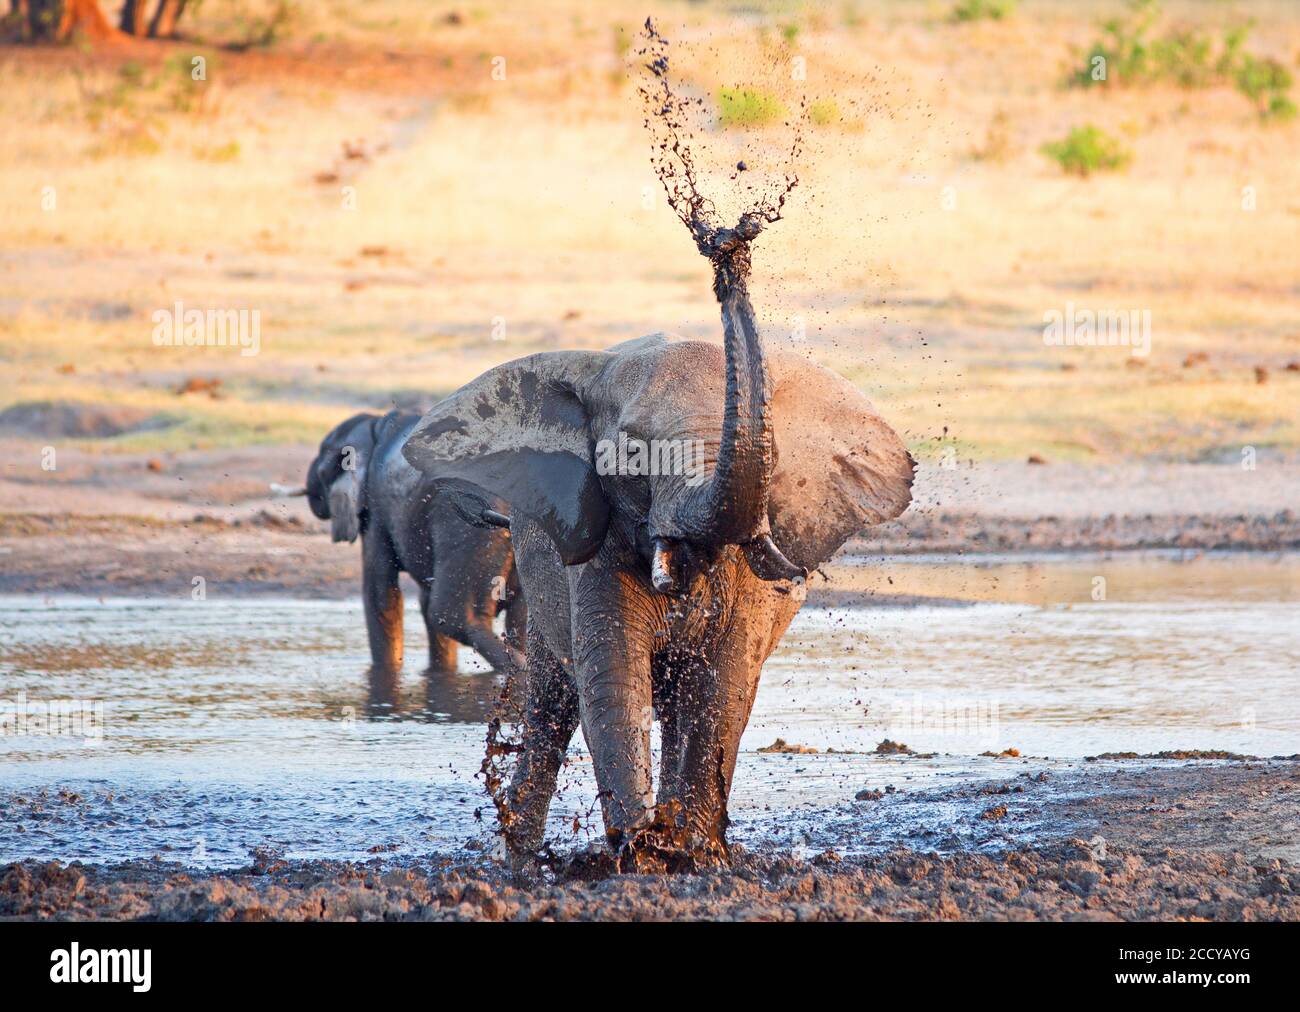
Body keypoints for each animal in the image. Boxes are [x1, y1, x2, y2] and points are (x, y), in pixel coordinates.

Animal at [305, 411, 526, 685]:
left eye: (324, 472)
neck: (373, 426)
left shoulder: (376, 511)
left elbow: (380, 594)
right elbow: (420, 600)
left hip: (470, 526)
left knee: (453, 616)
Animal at [401, 210, 914, 869]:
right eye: (633, 452)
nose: (729, 245)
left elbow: (722, 687)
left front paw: (690, 854)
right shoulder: (597, 546)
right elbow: (614, 679)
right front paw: (640, 856)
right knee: (550, 701)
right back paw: (521, 860)